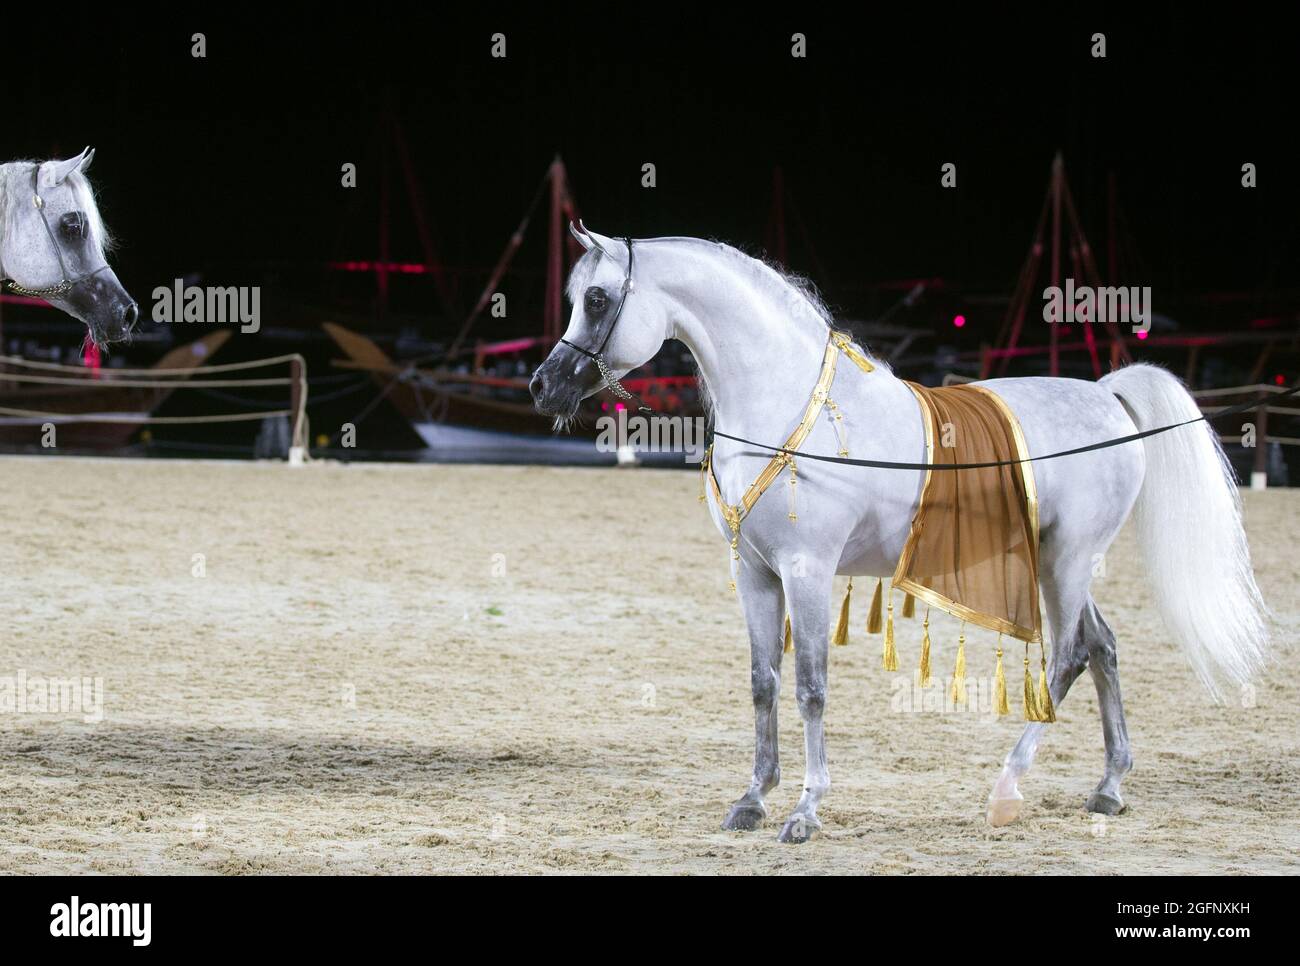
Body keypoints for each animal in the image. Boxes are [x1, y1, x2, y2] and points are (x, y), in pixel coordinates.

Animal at [530, 225, 1271, 843]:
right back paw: (1109, 786)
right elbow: (764, 682)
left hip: (1067, 561)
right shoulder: (754, 573)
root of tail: (1108, 394)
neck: (788, 404)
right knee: (1103, 647)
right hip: (1062, 563)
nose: (543, 386)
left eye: (596, 298)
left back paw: (1005, 790)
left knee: (1068, 656)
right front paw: (752, 799)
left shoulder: (807, 570)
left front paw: (806, 811)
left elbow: (810, 686)